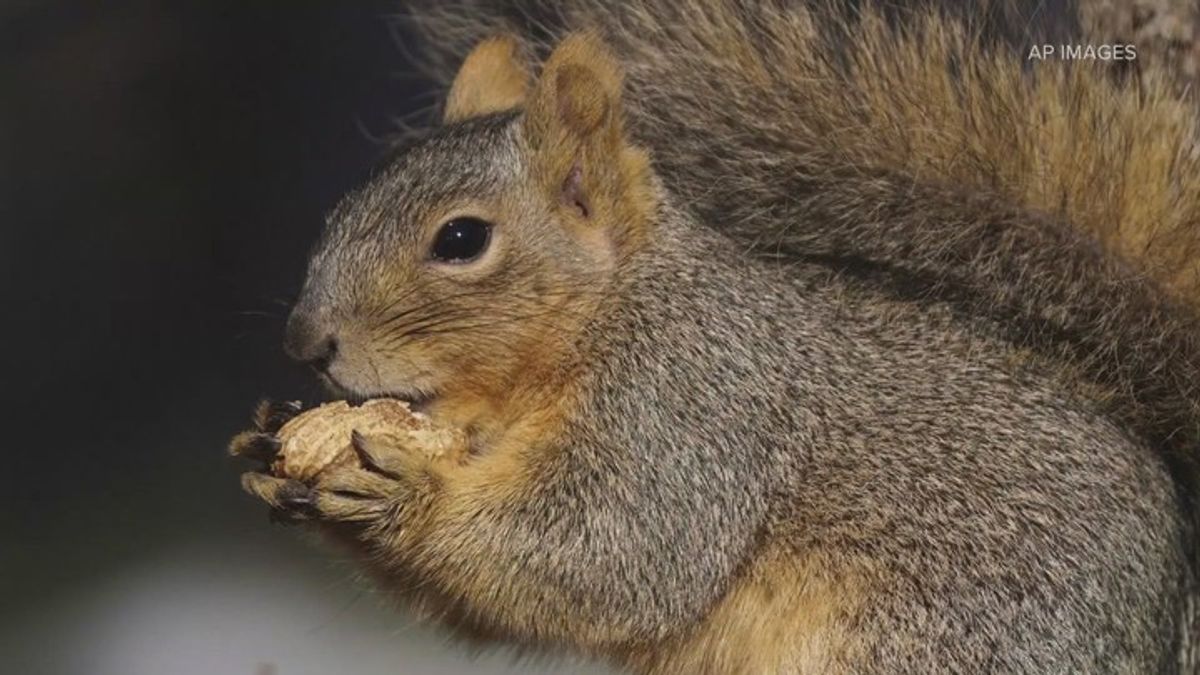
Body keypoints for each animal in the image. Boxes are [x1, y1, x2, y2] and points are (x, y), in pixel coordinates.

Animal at [231, 1, 1200, 672]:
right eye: (348, 205)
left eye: (462, 239)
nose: (305, 341)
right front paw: (273, 443)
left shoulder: (690, 409)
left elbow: (612, 550)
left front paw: (406, 493)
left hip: (948, 639)